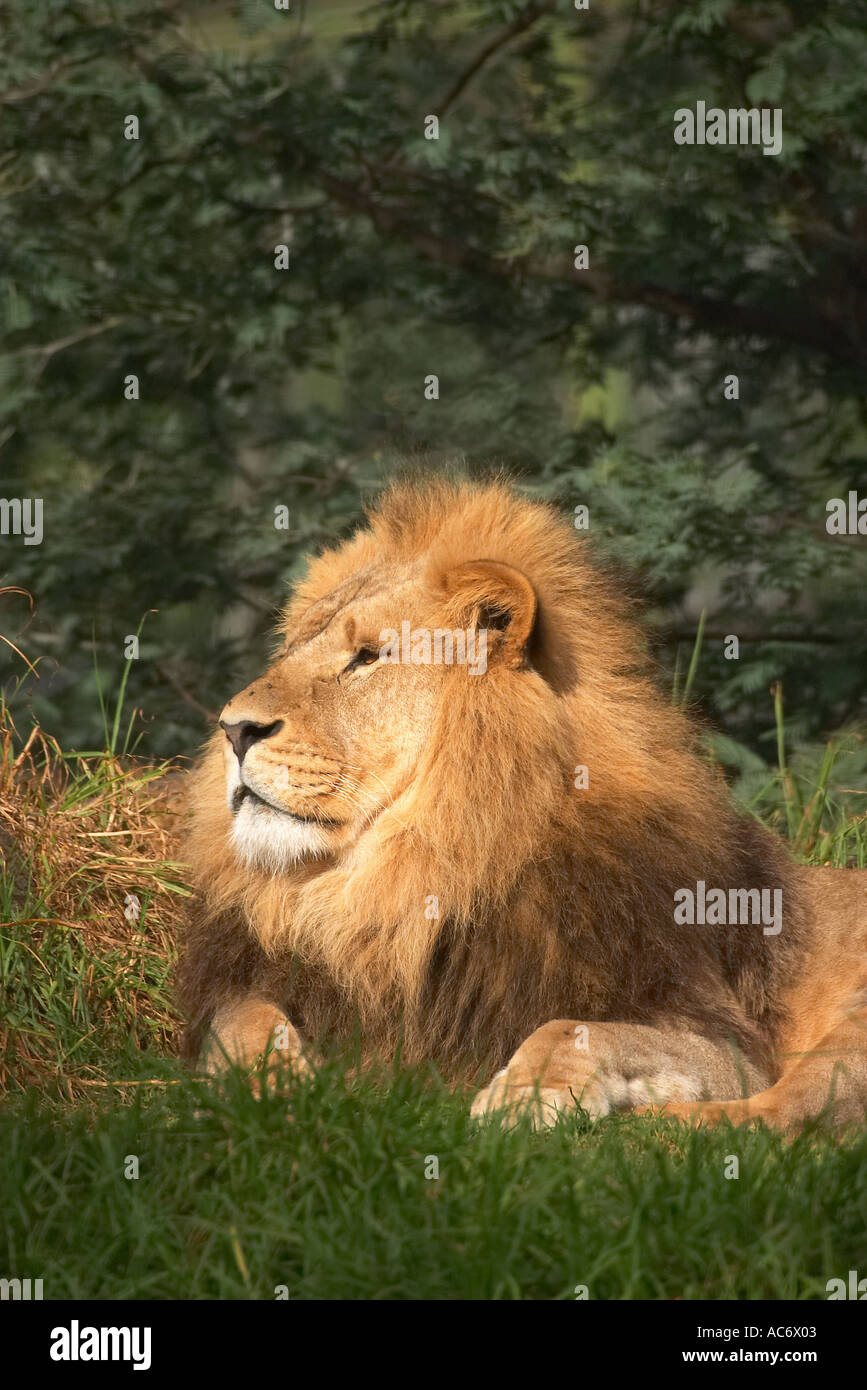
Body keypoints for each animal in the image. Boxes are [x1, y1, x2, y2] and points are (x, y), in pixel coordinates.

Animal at [178, 476, 867, 1132]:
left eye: (367, 657)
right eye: (290, 651)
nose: (233, 729)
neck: (411, 880)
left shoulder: (724, 1040)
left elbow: (570, 1028)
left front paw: (523, 1098)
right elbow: (240, 1019)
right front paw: (270, 1093)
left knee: (786, 1119)